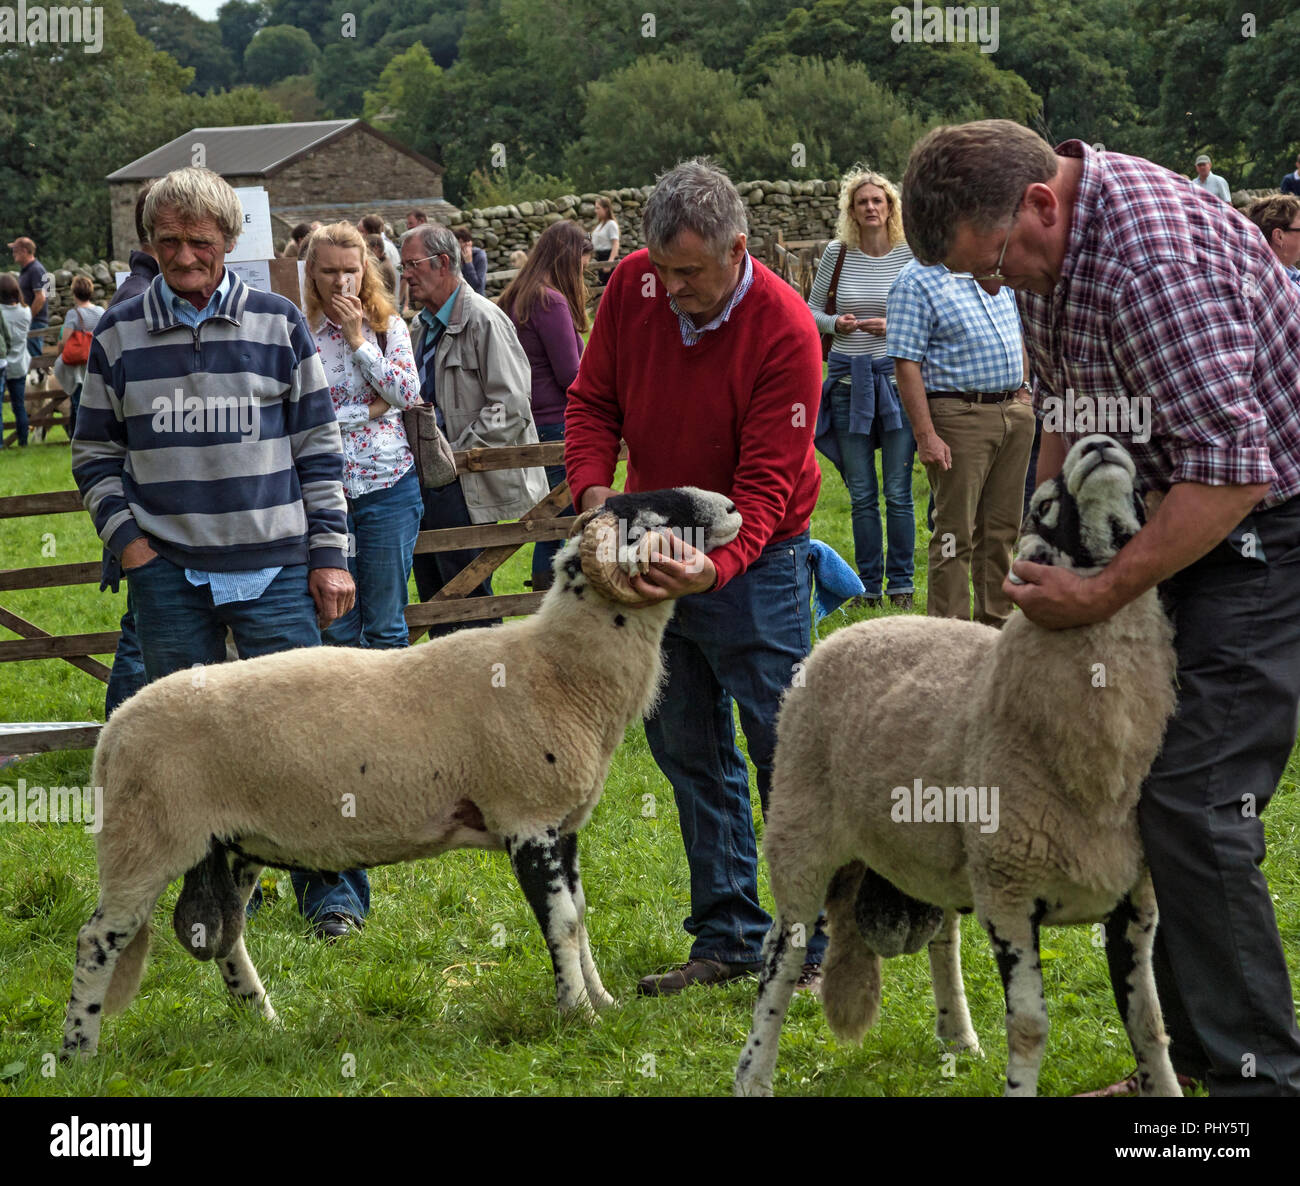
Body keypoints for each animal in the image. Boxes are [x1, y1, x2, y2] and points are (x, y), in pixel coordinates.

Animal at [62, 486, 741, 1058]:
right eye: (654, 516)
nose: (734, 507)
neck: (557, 670)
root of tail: (113, 731)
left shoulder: (563, 825)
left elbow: (579, 917)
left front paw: (601, 1001)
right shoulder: (528, 820)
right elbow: (562, 923)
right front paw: (578, 1015)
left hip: (229, 846)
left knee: (228, 937)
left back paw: (265, 1023)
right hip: (144, 839)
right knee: (98, 938)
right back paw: (77, 1055)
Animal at [735, 435, 1183, 1097]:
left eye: (1138, 492)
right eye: (1042, 504)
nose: (1100, 441)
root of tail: (856, 625)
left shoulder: (1135, 900)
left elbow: (1149, 1024)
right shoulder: (1009, 893)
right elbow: (1029, 1028)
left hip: (930, 846)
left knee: (942, 935)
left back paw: (957, 1035)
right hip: (800, 829)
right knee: (782, 956)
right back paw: (753, 1072)